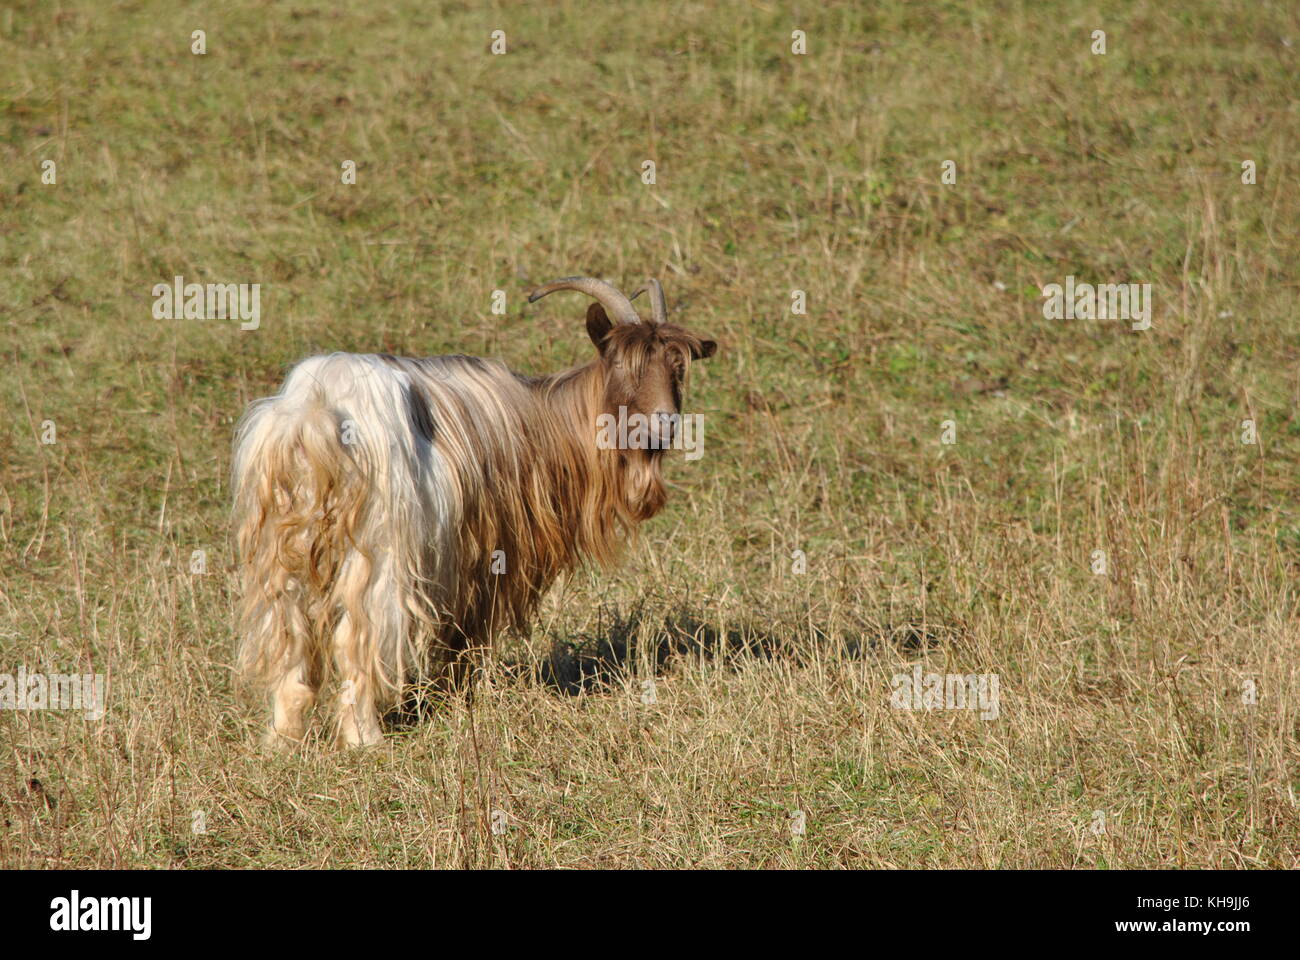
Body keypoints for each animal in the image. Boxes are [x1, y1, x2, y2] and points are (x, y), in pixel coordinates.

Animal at [232, 277, 717, 747]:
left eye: (677, 367)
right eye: (621, 365)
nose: (664, 424)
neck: (548, 421)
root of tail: (315, 413)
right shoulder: (485, 553)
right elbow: (467, 634)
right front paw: (458, 697)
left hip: (282, 543)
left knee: (289, 633)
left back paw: (283, 739)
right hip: (379, 548)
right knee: (358, 636)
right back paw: (364, 738)